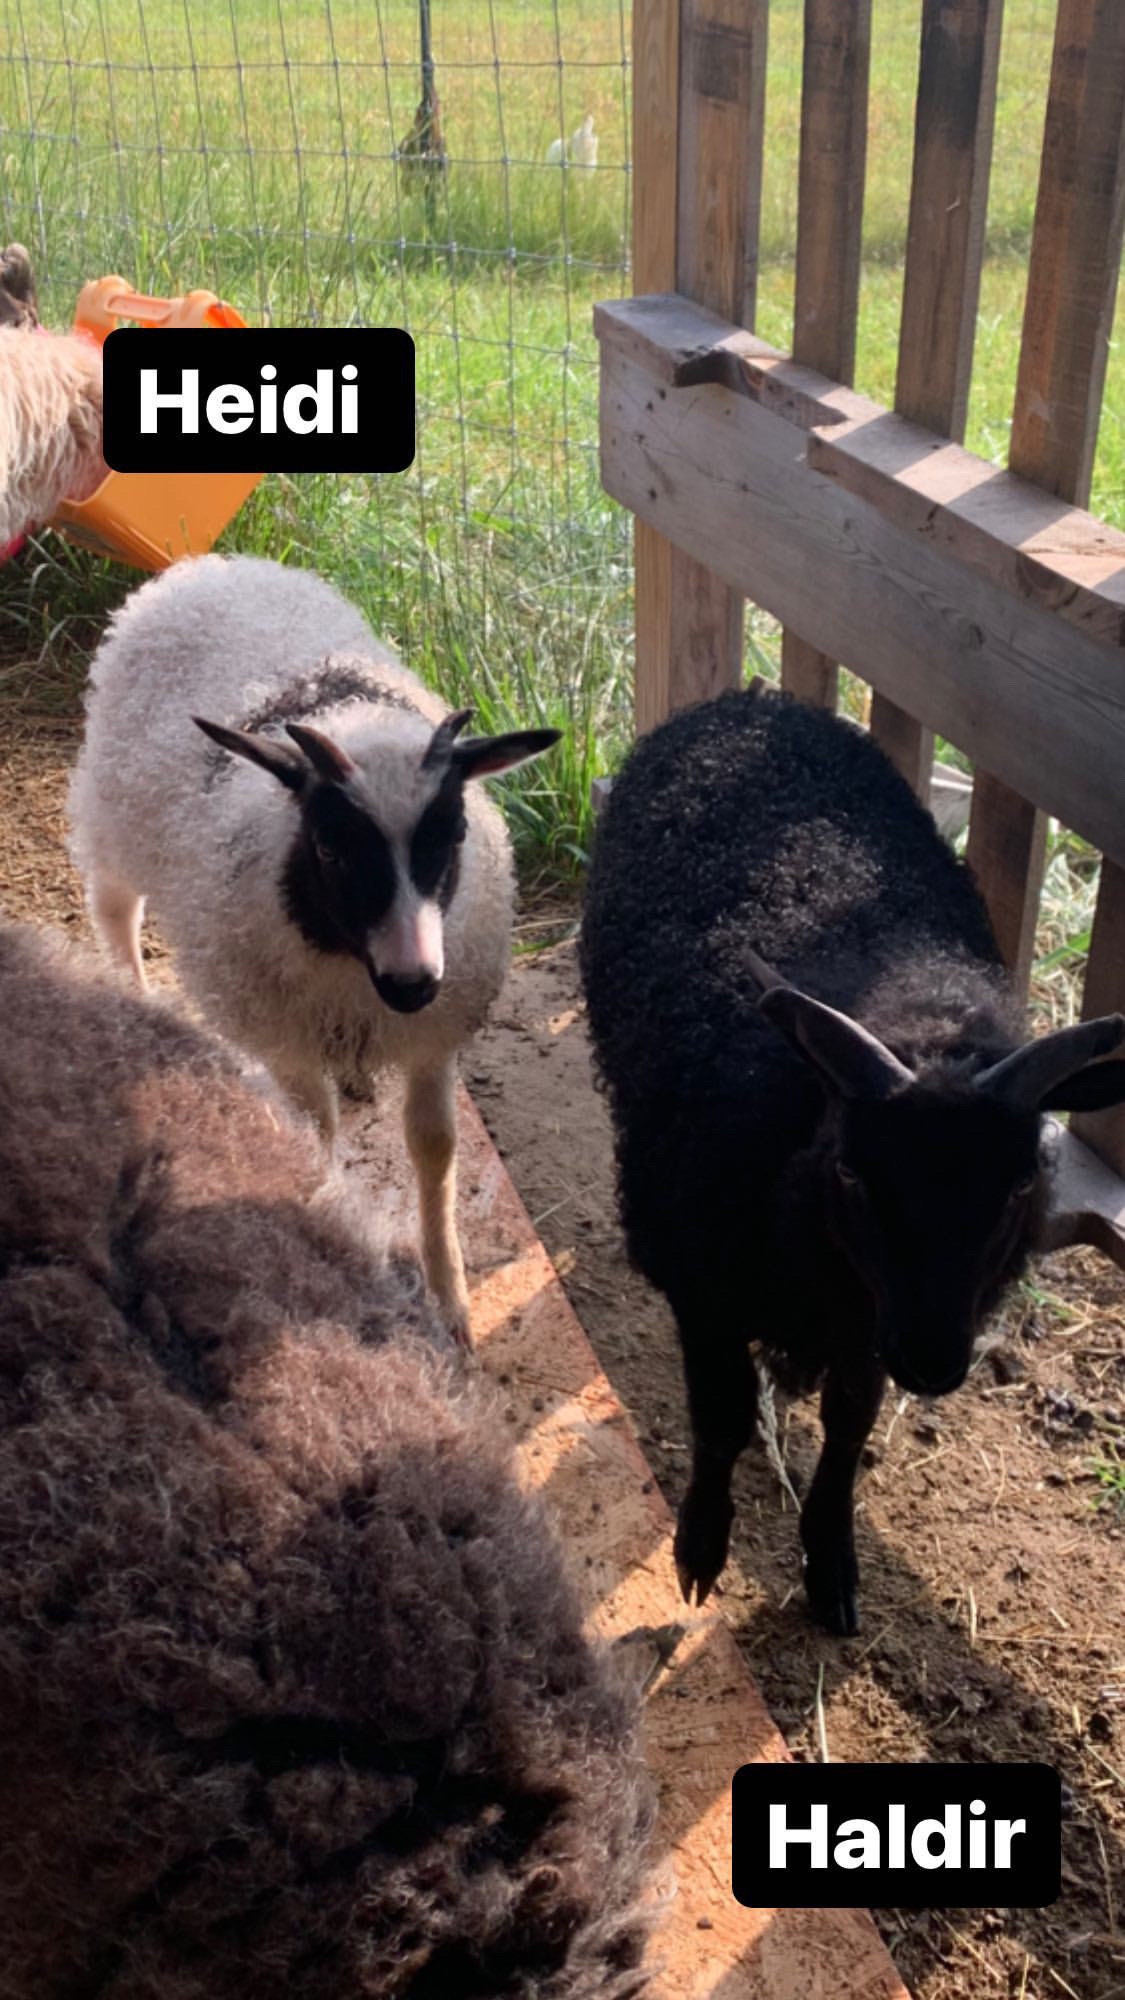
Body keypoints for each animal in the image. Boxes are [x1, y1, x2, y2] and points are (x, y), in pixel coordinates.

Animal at [68, 553, 559, 1344]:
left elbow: (433, 1147)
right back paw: (134, 997)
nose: (413, 981)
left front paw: (450, 1298)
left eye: (451, 835)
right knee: (114, 910)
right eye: (330, 847)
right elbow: (316, 1138)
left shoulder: (434, 1034)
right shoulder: (290, 1039)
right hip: (115, 816)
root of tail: (206, 566)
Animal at [580, 683, 1125, 1636]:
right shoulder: (705, 1286)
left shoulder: (873, 1316)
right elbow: (720, 1418)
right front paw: (700, 1545)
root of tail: (753, 702)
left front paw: (830, 1560)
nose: (934, 1363)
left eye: (1021, 1180)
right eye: (850, 1174)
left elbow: (849, 1424)